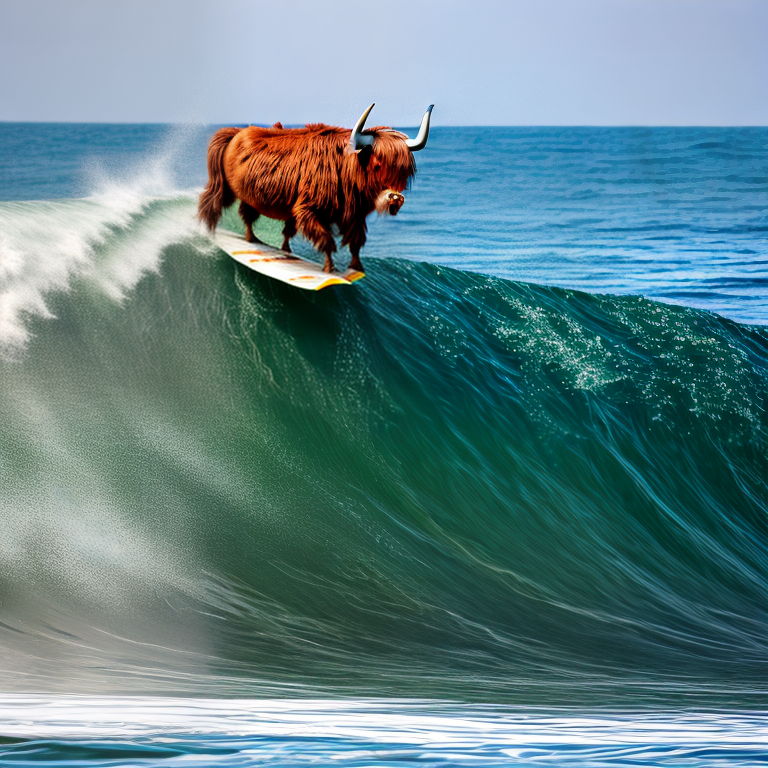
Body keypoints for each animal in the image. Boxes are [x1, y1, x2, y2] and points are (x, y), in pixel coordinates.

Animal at [198, 104, 433, 273]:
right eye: (378, 163)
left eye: (405, 170)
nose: (395, 199)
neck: (346, 166)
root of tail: (237, 132)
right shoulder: (309, 210)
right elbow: (325, 239)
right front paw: (330, 269)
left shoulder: (355, 216)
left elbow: (356, 242)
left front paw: (356, 268)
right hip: (224, 188)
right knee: (213, 206)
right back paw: (210, 235)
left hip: (250, 196)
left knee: (248, 216)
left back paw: (260, 242)